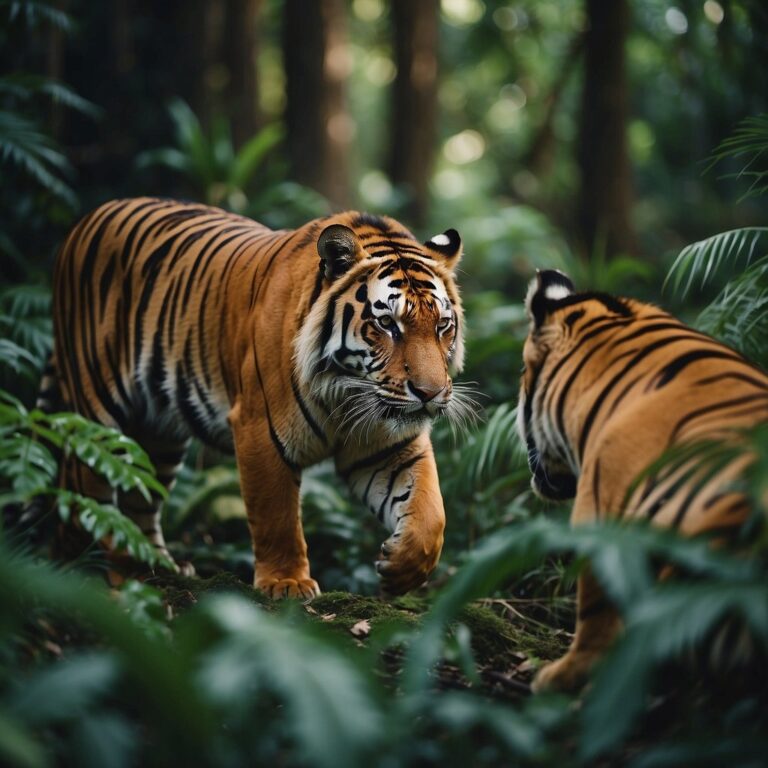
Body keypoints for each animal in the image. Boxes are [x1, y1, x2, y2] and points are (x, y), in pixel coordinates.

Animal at [46, 197, 471, 598]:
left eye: (442, 325)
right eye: (386, 323)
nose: (430, 393)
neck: (347, 391)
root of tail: (85, 221)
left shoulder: (391, 444)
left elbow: (430, 512)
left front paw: (402, 568)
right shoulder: (260, 431)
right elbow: (275, 515)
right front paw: (286, 582)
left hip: (159, 433)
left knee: (140, 495)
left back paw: (155, 565)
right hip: (97, 412)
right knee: (88, 498)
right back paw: (115, 567)